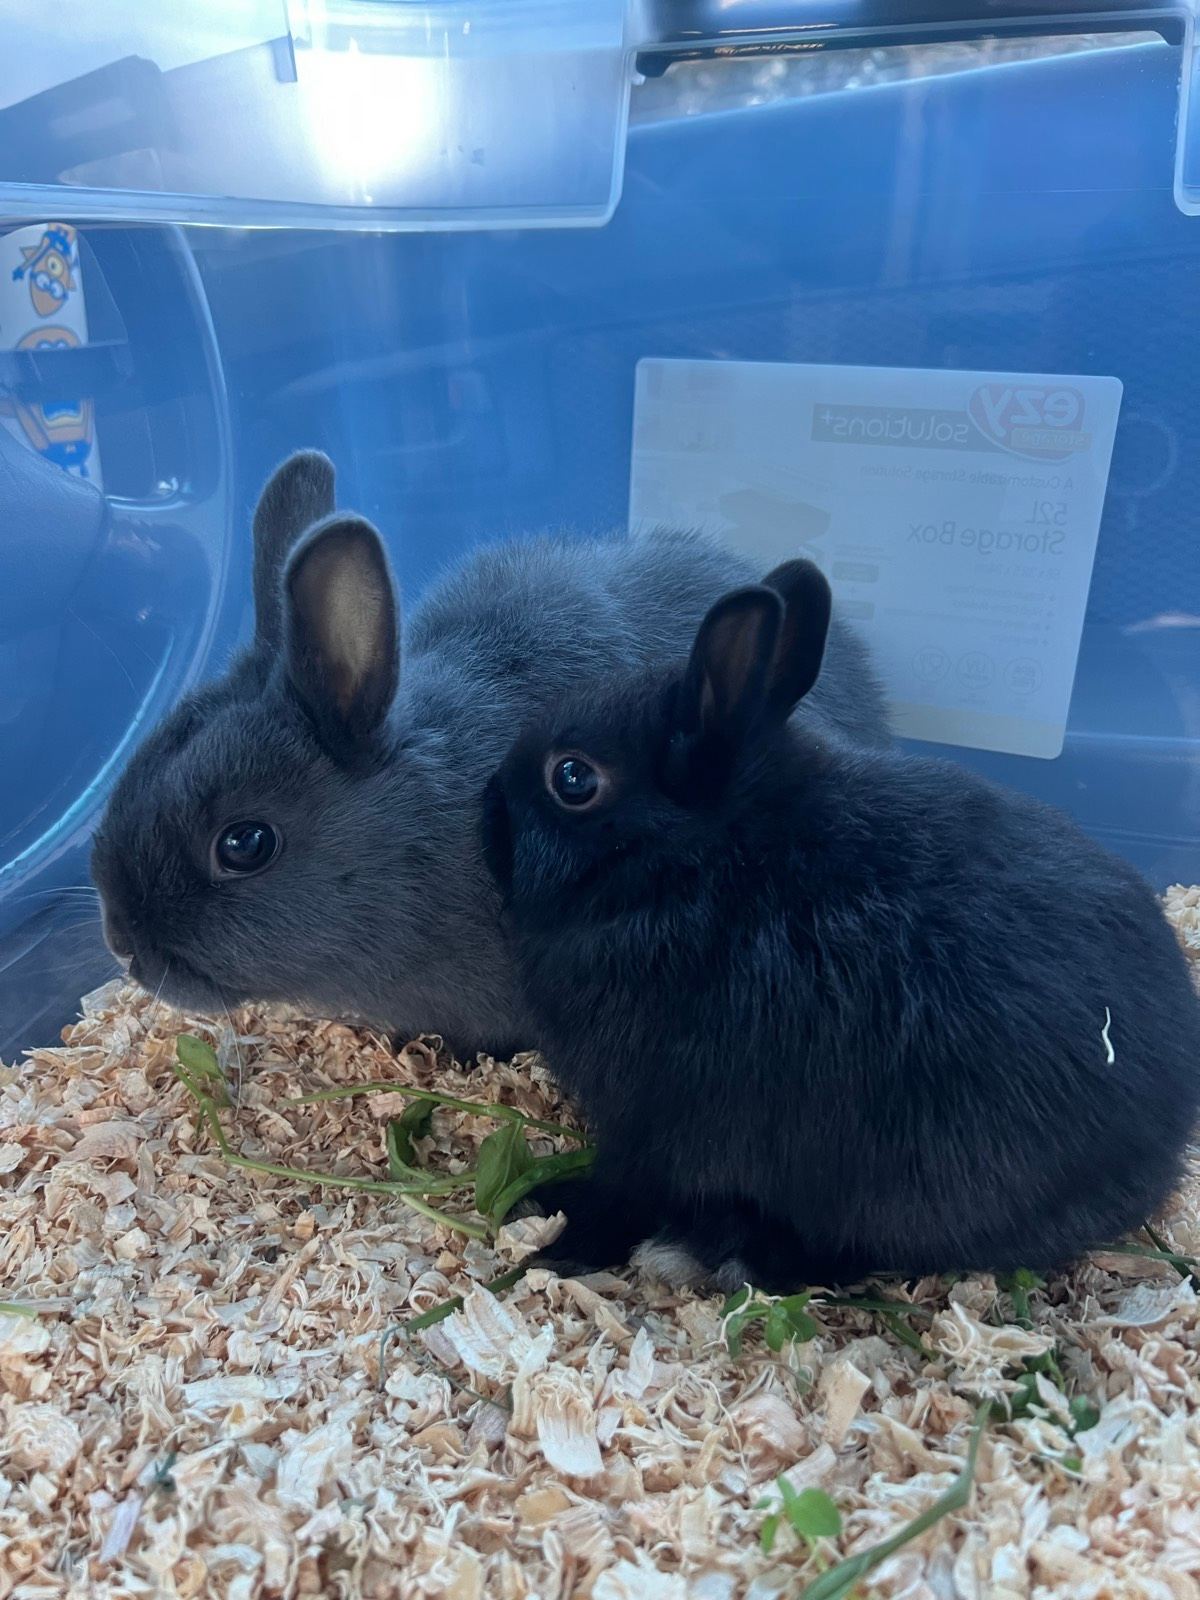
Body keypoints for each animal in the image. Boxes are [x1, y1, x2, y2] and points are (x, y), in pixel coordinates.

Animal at [481, 558, 1200, 1289]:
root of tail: (1167, 1150)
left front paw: (560, 1237)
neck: (694, 863)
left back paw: (730, 1255)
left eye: (572, 776)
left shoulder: (651, 1124)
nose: (486, 814)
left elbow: (627, 1192)